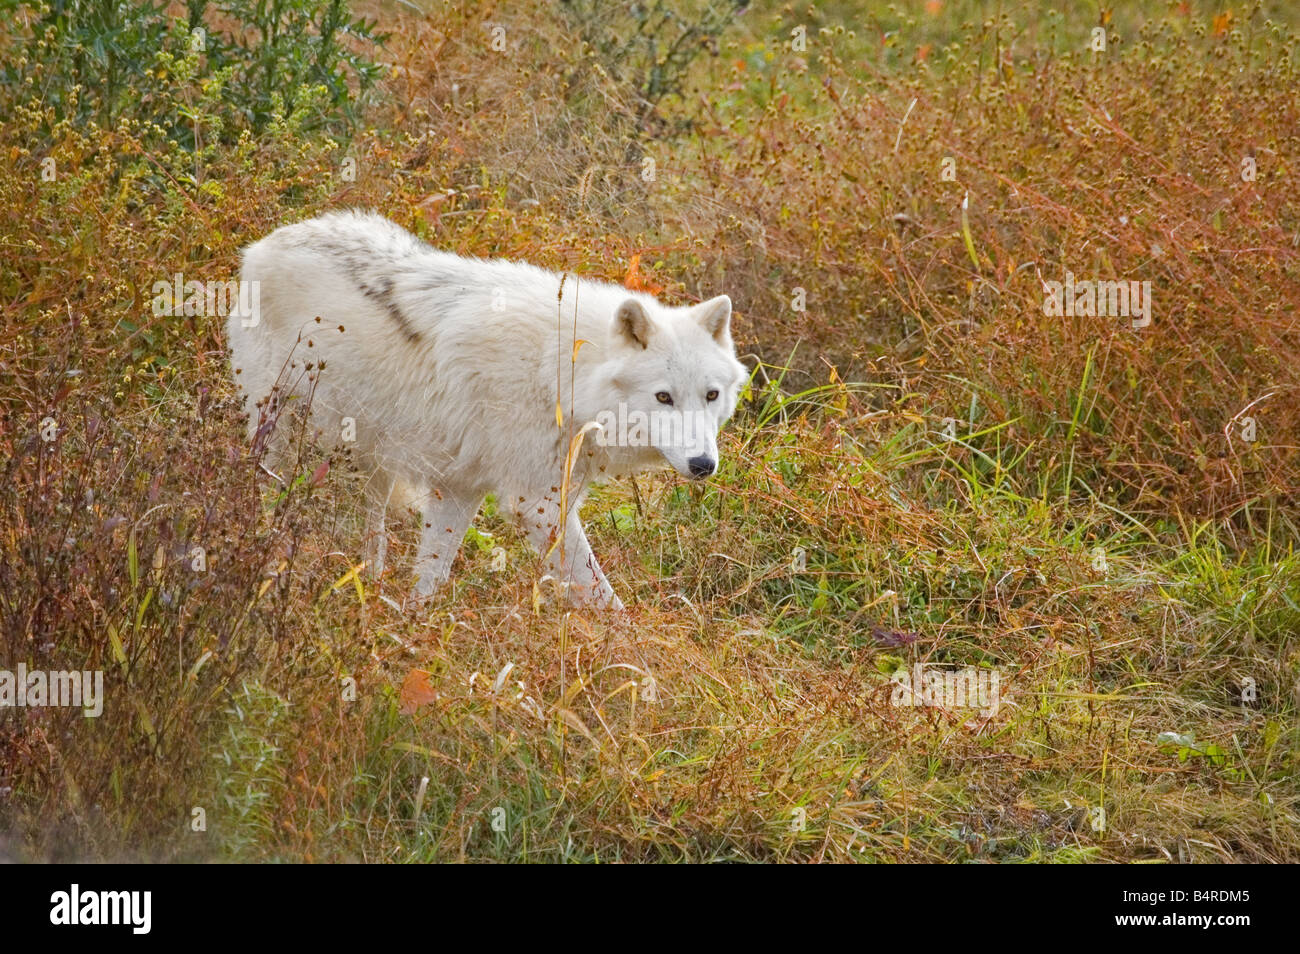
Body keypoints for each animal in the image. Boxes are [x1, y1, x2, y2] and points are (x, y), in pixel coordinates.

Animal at [226, 210, 746, 609]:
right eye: (663, 397)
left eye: (711, 395)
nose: (704, 465)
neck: (557, 372)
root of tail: (261, 244)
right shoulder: (539, 506)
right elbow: (604, 598)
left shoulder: (460, 488)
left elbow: (431, 576)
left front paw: (409, 630)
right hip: (280, 435)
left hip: (372, 460)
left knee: (373, 534)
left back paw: (366, 586)